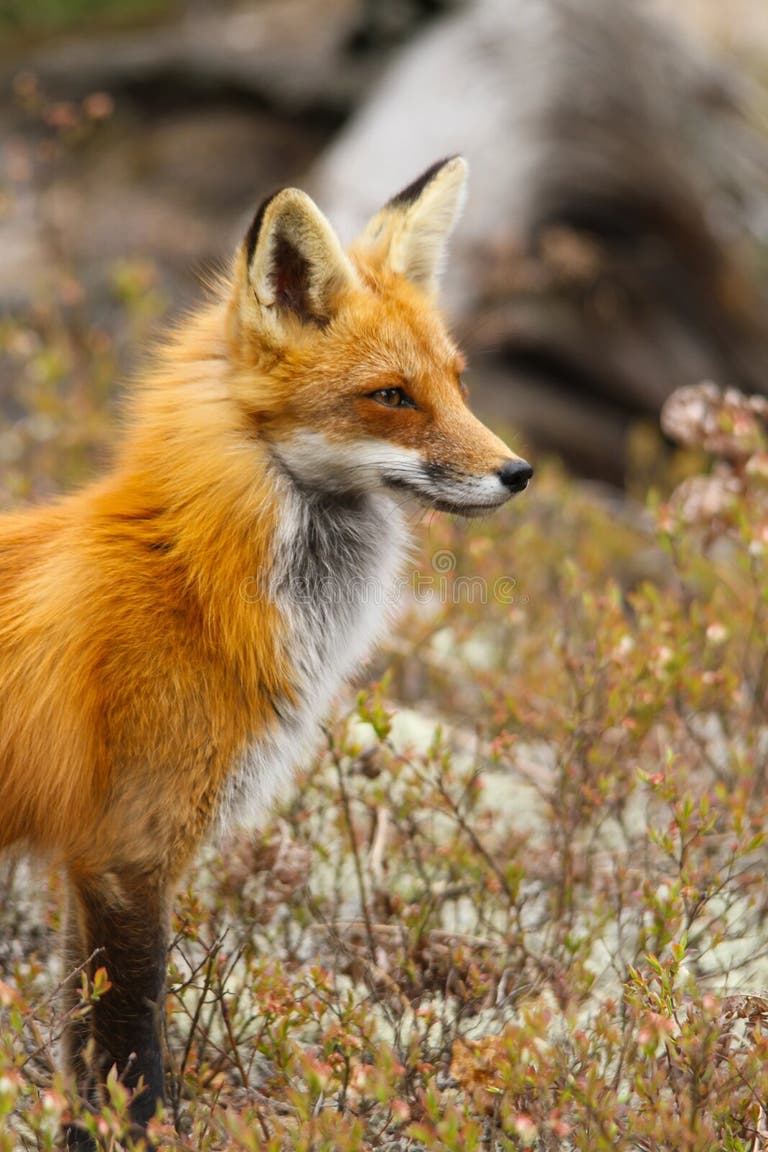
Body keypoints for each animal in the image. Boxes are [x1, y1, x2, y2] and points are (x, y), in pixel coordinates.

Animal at [0, 156, 532, 1146]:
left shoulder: (89, 859)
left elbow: (80, 1050)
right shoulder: (129, 849)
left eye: (457, 382)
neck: (193, 581)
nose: (517, 473)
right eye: (391, 396)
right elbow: (132, 1049)